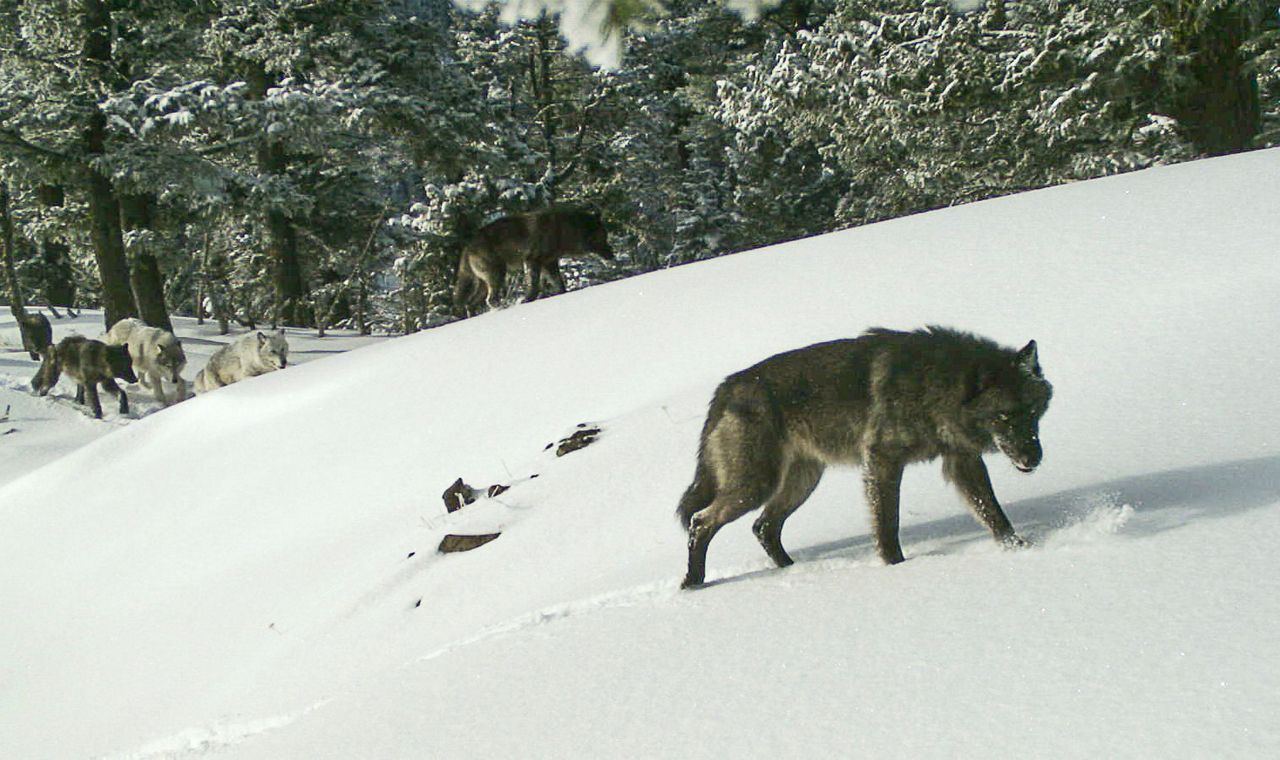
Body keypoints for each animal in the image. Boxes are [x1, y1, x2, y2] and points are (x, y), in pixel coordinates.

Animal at [453, 206, 613, 314]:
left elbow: (559, 284)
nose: (612, 254)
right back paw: (503, 308)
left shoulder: (549, 263)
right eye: (603, 238)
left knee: (470, 304)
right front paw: (527, 300)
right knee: (490, 300)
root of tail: (467, 247)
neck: (561, 231)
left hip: (485, 282)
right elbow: (534, 284)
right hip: (498, 276)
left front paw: (561, 294)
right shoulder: (532, 261)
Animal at [676, 326, 1053, 589]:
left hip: (801, 482)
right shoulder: (882, 461)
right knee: (700, 522)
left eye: (1034, 413)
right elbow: (887, 524)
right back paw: (693, 583)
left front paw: (1020, 549)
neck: (934, 384)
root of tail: (726, 386)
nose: (1033, 458)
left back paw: (794, 570)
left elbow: (994, 514)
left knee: (764, 526)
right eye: (1003, 417)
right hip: (756, 486)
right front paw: (896, 568)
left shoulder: (962, 461)